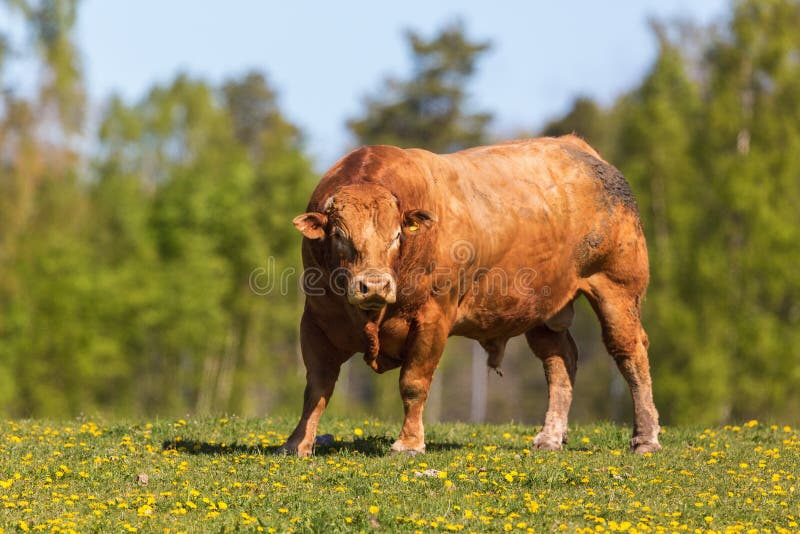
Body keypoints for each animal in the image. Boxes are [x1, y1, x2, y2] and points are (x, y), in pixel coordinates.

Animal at [282, 135, 660, 457]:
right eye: (340, 236)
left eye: (396, 236)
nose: (374, 285)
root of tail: (580, 149)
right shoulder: (315, 318)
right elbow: (317, 386)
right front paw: (297, 443)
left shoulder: (433, 318)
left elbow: (413, 382)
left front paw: (408, 444)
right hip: (544, 307)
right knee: (559, 360)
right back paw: (550, 437)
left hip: (617, 288)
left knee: (630, 352)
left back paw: (645, 438)